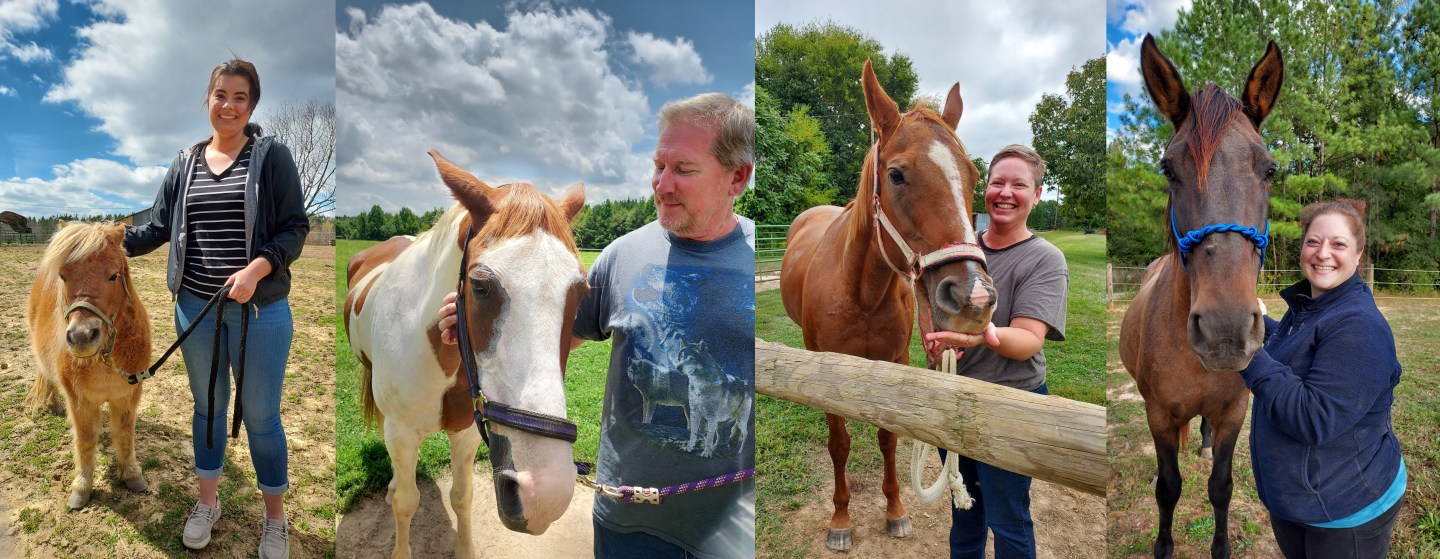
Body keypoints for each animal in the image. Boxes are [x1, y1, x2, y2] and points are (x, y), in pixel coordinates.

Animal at [25, 221, 152, 509]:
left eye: (114, 276)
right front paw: (82, 487)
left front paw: (131, 475)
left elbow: (124, 434)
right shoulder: (79, 401)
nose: (82, 336)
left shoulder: (128, 396)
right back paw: (52, 404)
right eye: (63, 276)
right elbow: (85, 440)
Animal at [345, 150, 586, 559]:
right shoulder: (401, 432)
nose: (544, 494)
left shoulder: (467, 434)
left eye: (582, 291)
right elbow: (406, 503)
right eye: (480, 286)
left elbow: (462, 497)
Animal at [780, 59, 997, 551]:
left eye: (974, 178)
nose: (972, 297)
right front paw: (841, 520)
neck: (861, 293)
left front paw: (896, 511)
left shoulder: (896, 362)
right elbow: (839, 444)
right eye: (896, 174)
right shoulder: (828, 370)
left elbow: (888, 438)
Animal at [1119, 34, 1282, 559]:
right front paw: (1163, 546)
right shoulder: (1158, 416)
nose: (1225, 330)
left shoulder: (1233, 414)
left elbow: (1221, 486)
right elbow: (1167, 487)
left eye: (1270, 169)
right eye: (1168, 169)